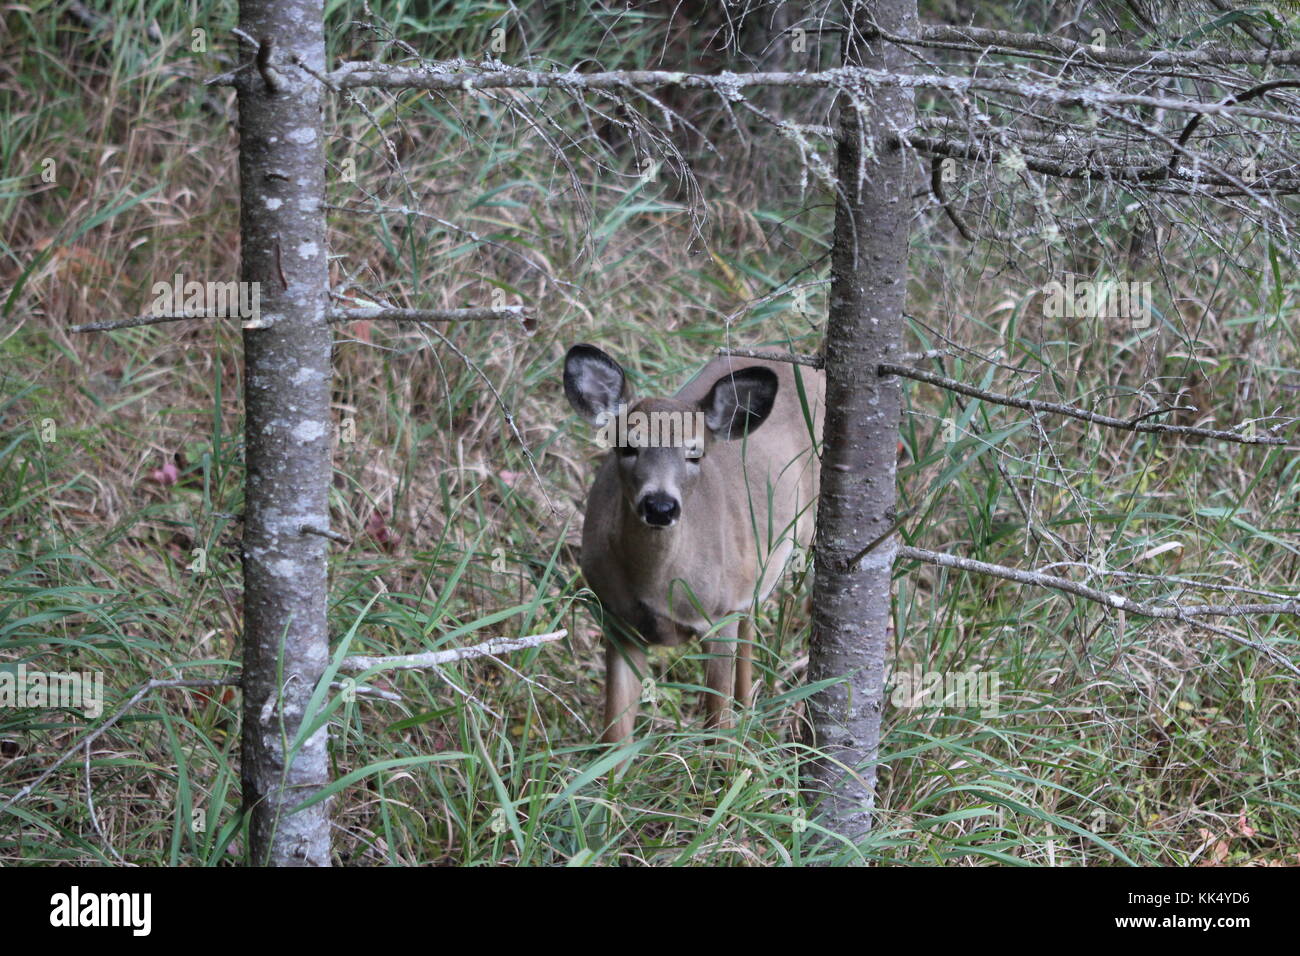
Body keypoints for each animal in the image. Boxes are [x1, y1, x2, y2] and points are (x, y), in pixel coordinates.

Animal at [563, 343, 823, 748]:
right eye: (627, 447)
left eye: (695, 453)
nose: (660, 506)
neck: (657, 585)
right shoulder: (618, 620)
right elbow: (615, 735)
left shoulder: (717, 616)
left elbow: (717, 727)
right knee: (752, 619)